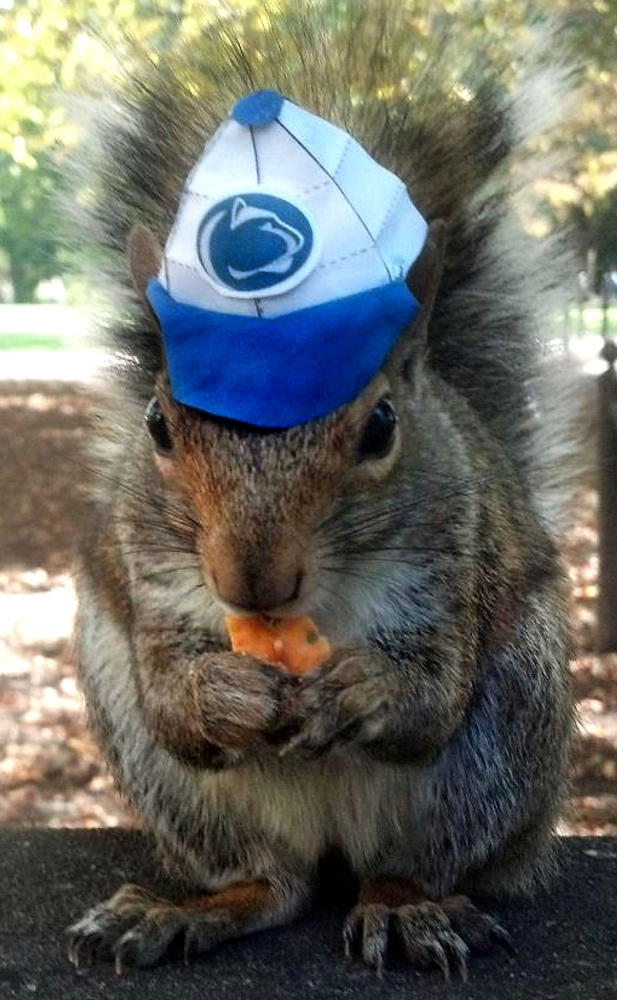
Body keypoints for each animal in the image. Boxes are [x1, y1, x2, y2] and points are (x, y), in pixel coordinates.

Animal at [67, 2, 575, 980]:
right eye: (157, 425)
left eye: (380, 427)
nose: (252, 582)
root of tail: (333, 843)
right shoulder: (152, 577)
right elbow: (172, 701)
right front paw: (222, 695)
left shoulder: (451, 564)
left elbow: (429, 698)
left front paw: (361, 693)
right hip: (173, 780)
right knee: (271, 883)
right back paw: (187, 909)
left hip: (502, 738)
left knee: (409, 863)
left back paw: (411, 911)